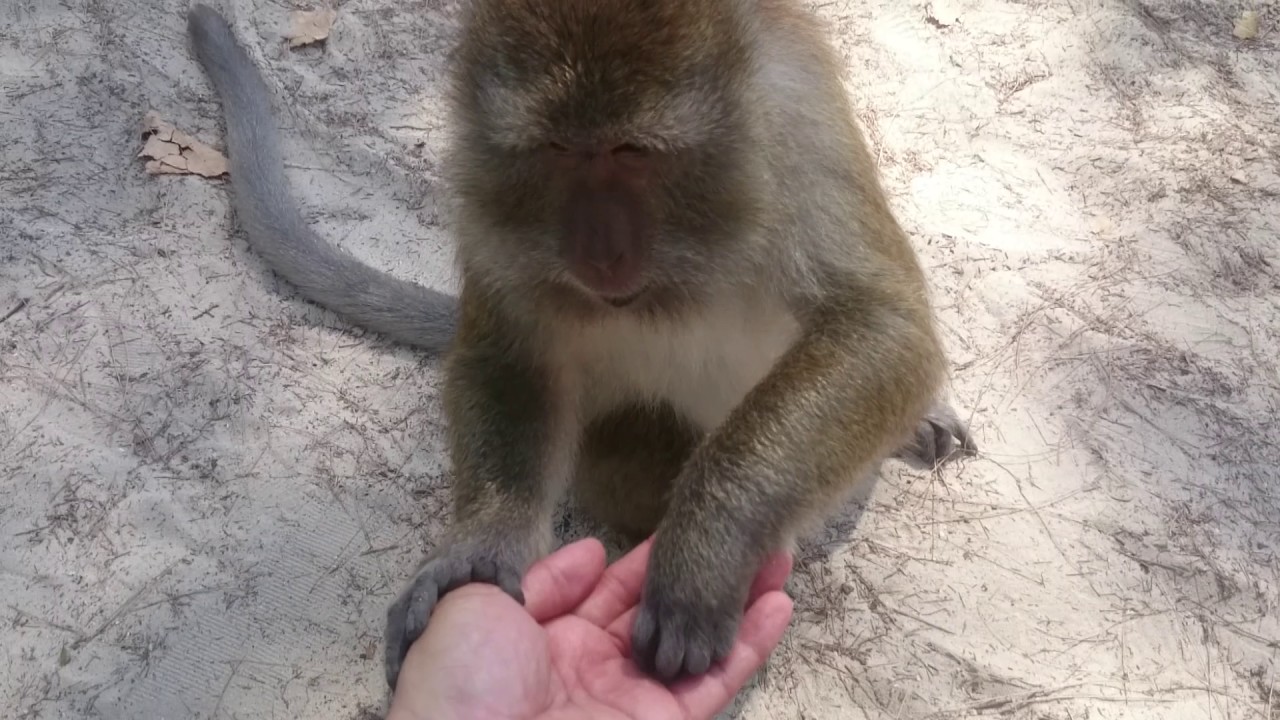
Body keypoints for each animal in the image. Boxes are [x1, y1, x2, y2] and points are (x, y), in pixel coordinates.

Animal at [185, 0, 976, 689]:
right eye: (559, 151)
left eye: (632, 151)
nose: (599, 252)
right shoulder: (486, 184)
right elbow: (511, 351)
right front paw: (480, 556)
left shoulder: (797, 124)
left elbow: (879, 324)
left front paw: (709, 546)